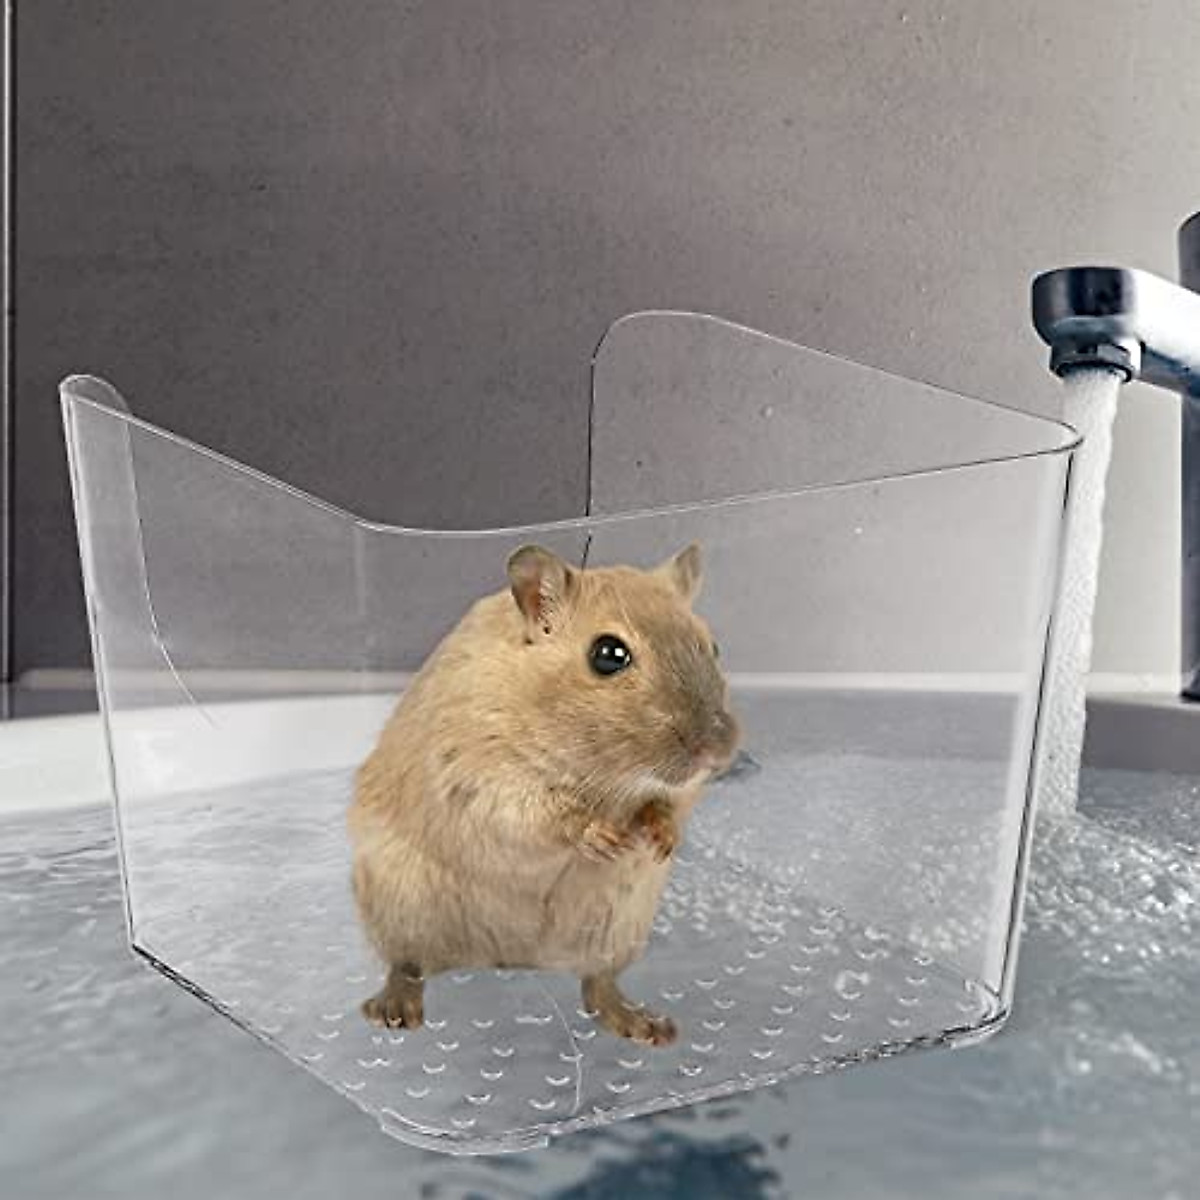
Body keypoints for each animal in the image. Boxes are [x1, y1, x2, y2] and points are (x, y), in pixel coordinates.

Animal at [348, 542, 740, 1046]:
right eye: (608, 655)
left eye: (713, 646)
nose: (718, 750)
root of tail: (509, 959)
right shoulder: (483, 778)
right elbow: (546, 817)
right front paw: (605, 838)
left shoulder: (676, 792)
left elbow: (666, 805)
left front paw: (660, 839)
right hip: (400, 906)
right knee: (407, 964)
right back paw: (394, 1011)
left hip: (616, 927)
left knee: (597, 985)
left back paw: (646, 1025)